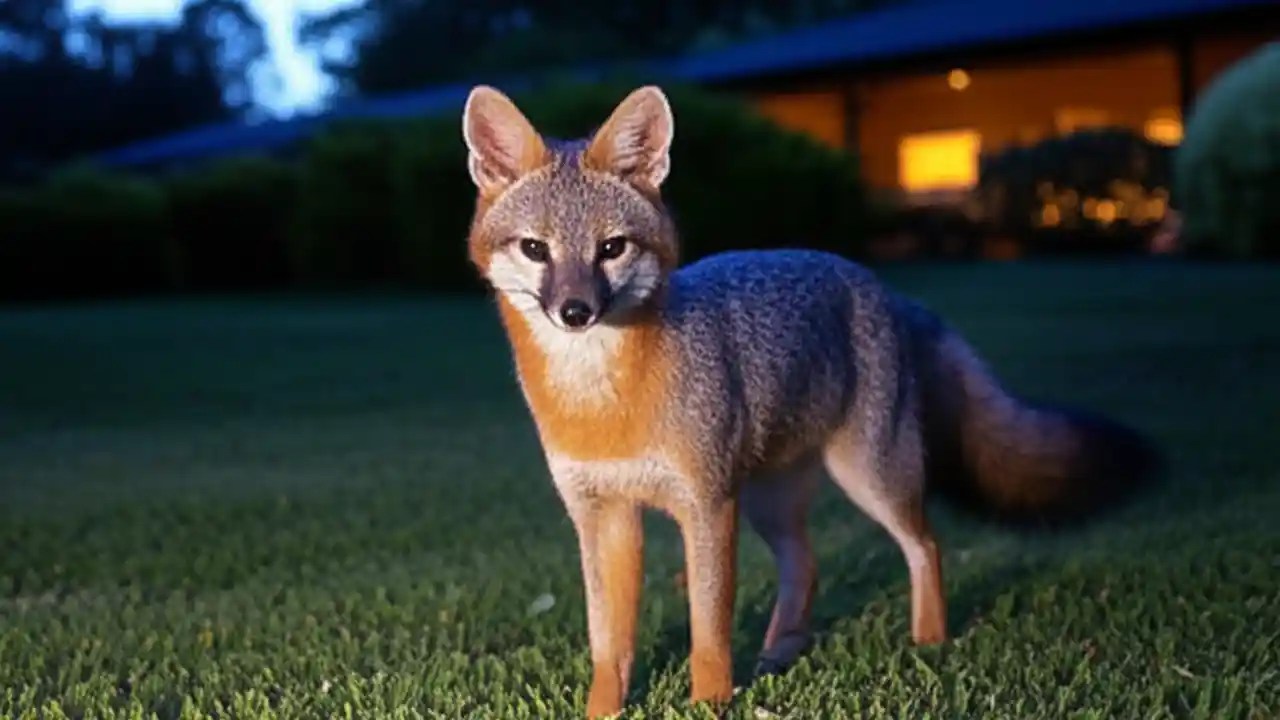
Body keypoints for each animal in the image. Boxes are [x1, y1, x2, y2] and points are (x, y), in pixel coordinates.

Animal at [460, 84, 1161, 717]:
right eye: (535, 249)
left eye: (611, 248)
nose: (575, 311)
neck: (602, 403)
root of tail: (880, 285)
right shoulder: (603, 516)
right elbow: (610, 642)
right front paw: (603, 711)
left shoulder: (705, 506)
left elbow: (708, 631)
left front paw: (709, 704)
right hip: (769, 499)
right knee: (807, 563)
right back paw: (779, 650)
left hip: (869, 478)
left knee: (925, 545)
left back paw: (927, 640)